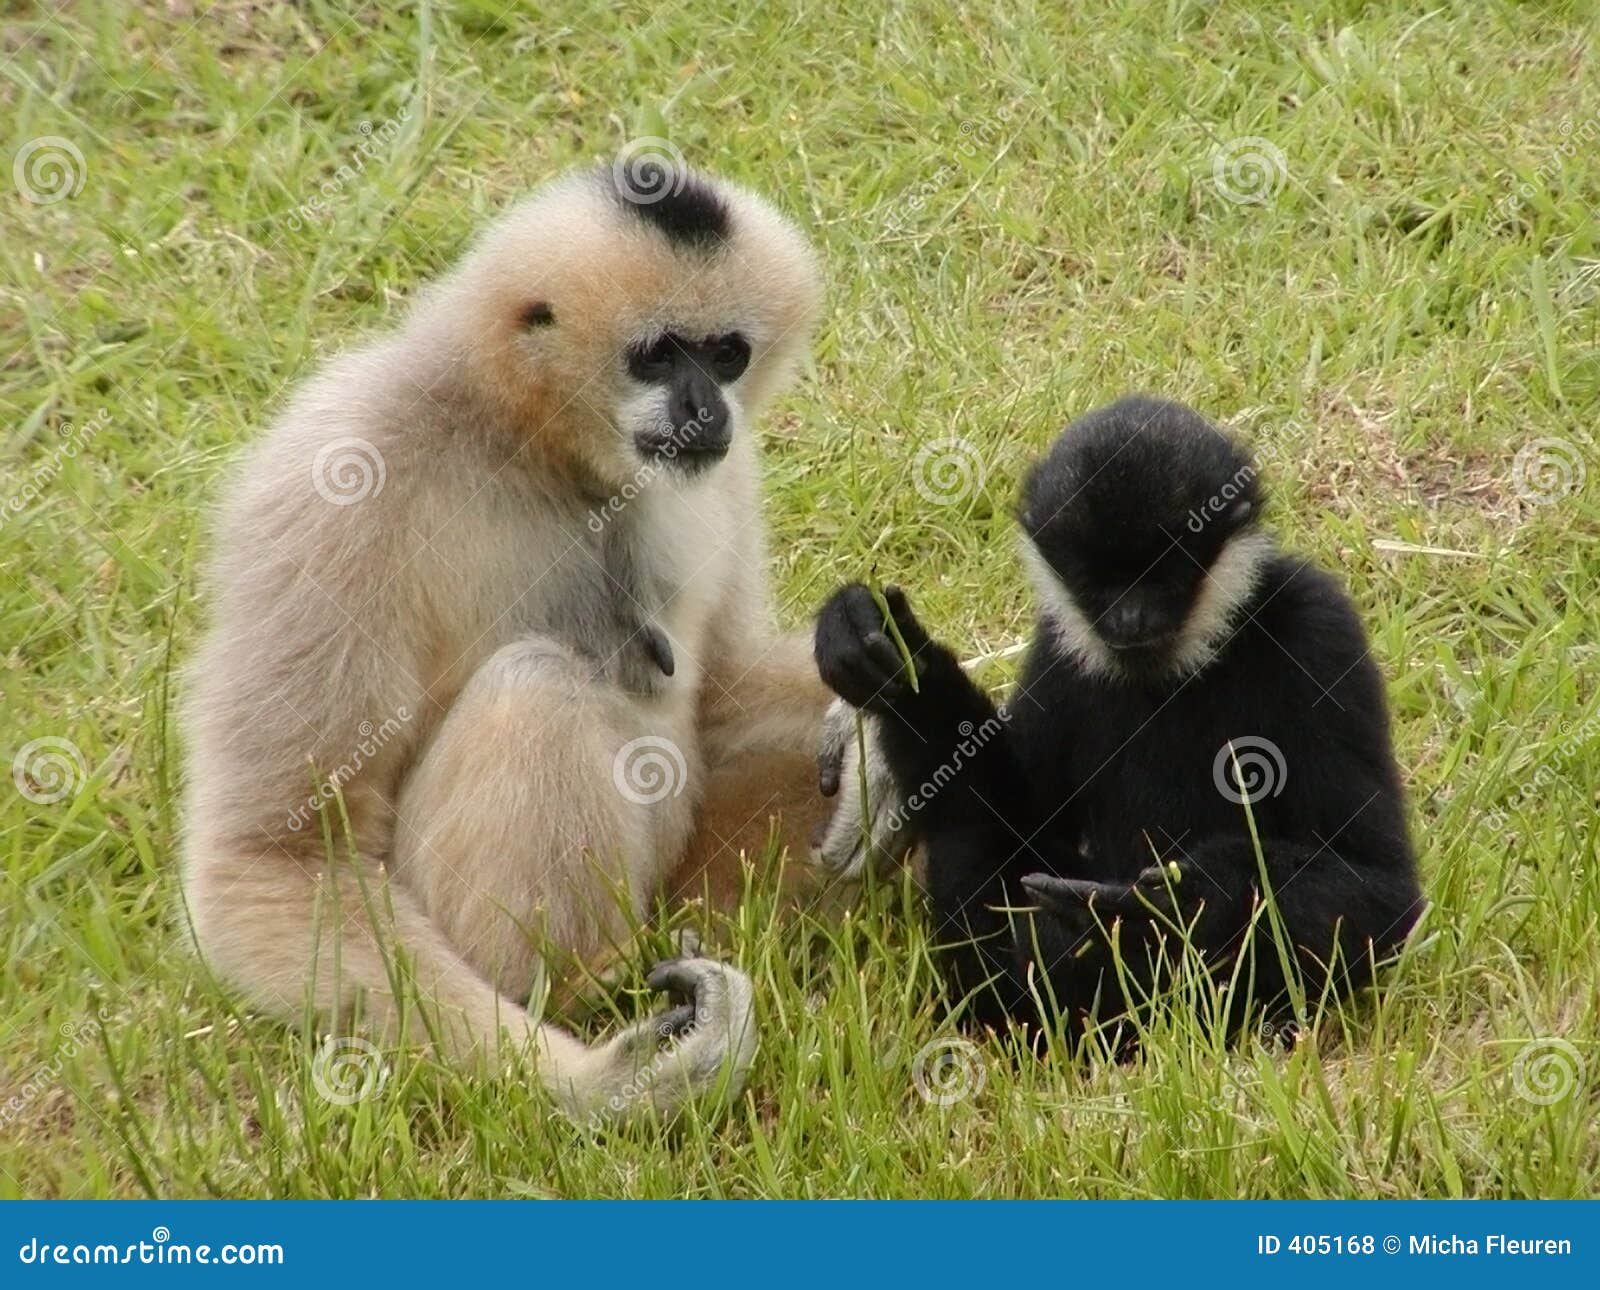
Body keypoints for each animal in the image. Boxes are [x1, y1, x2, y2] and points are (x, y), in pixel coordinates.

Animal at [181, 161, 849, 1123]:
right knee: (535, 686)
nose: (704, 405)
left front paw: (875, 710)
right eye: (656, 354)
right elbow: (274, 856)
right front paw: (599, 1083)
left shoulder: (729, 469)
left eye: (726, 352)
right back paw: (586, 991)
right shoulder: (331, 477)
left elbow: (721, 690)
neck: (527, 439)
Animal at [813, 395, 1423, 1045]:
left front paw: (1179, 902)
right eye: (1095, 584)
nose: (1130, 618)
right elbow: (1011, 810)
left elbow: (1382, 891)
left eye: (1164, 577)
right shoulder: (1059, 646)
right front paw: (891, 652)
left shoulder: (1320, 627)